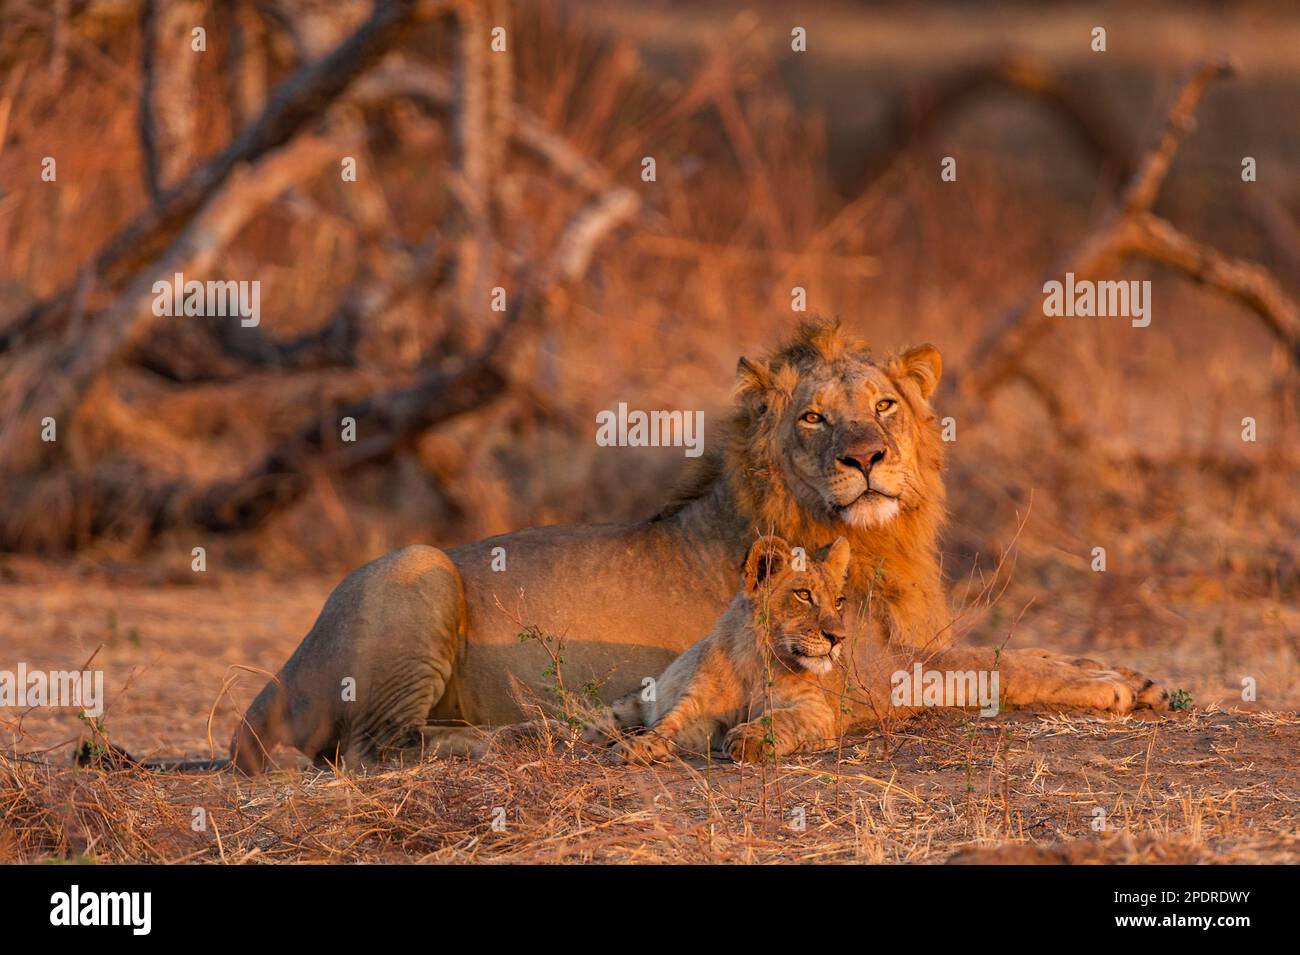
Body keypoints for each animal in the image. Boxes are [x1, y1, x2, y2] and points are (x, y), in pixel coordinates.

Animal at [590, 534, 852, 764]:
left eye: (838, 602)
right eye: (803, 595)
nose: (839, 638)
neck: (754, 660)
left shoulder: (817, 709)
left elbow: (783, 718)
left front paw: (749, 739)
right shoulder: (697, 705)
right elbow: (667, 725)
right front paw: (637, 745)